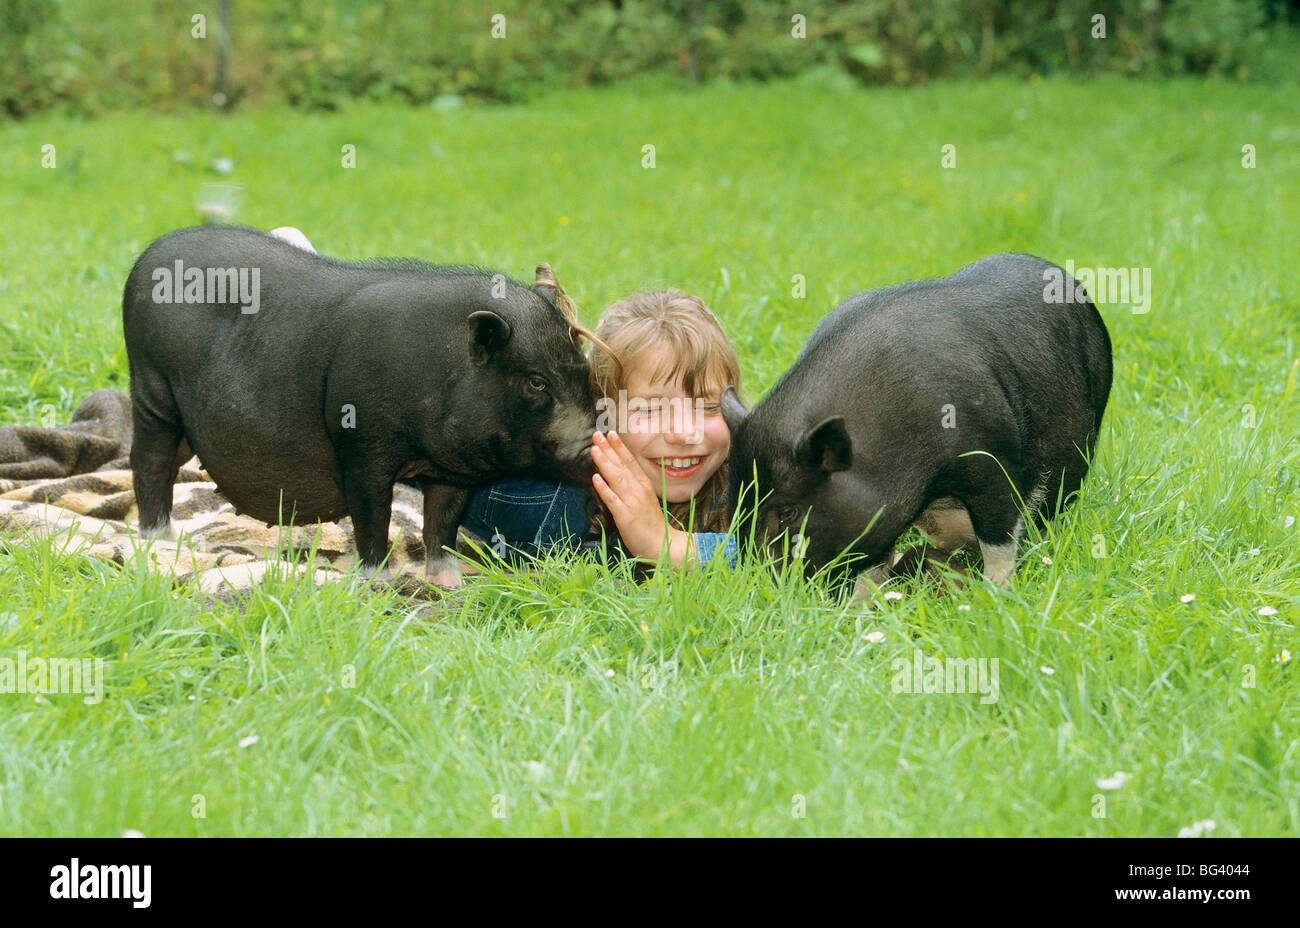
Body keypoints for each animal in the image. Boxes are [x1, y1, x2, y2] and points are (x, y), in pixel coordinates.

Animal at [122, 225, 599, 586]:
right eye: (536, 381)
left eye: (584, 370)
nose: (594, 445)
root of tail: (148, 256)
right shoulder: (363, 445)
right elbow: (373, 516)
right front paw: (378, 581)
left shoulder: (455, 471)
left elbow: (442, 523)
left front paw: (449, 582)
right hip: (151, 387)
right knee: (148, 462)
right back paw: (160, 540)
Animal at [720, 252, 1112, 592]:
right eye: (736, 505)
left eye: (788, 511)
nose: (756, 586)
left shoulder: (990, 455)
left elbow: (998, 533)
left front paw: (995, 591)